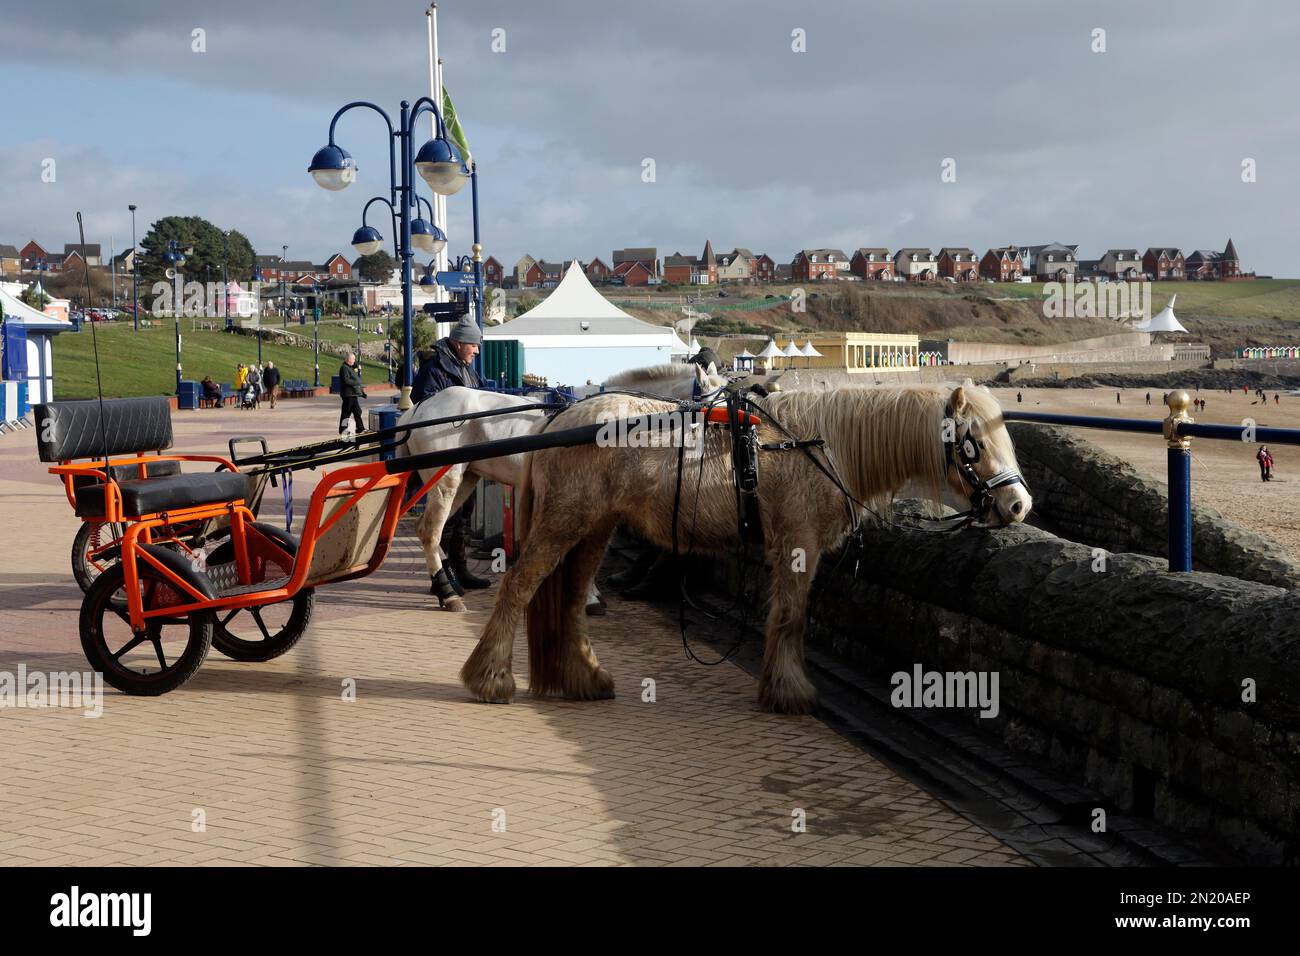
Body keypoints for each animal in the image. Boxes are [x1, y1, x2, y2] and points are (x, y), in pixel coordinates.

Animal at [400, 362, 726, 611]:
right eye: (717, 414)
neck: (621, 417)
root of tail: (418, 410)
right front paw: (589, 597)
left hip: (465, 477)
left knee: (434, 531)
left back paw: (448, 584)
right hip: (446, 480)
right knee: (430, 531)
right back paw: (447, 593)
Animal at [458, 382, 1033, 714]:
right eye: (974, 442)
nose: (1018, 505)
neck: (816, 442)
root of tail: (558, 419)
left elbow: (784, 615)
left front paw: (780, 684)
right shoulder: (799, 541)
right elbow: (791, 617)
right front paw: (789, 691)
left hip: (594, 527)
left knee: (574, 599)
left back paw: (584, 677)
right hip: (564, 520)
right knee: (519, 587)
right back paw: (490, 677)